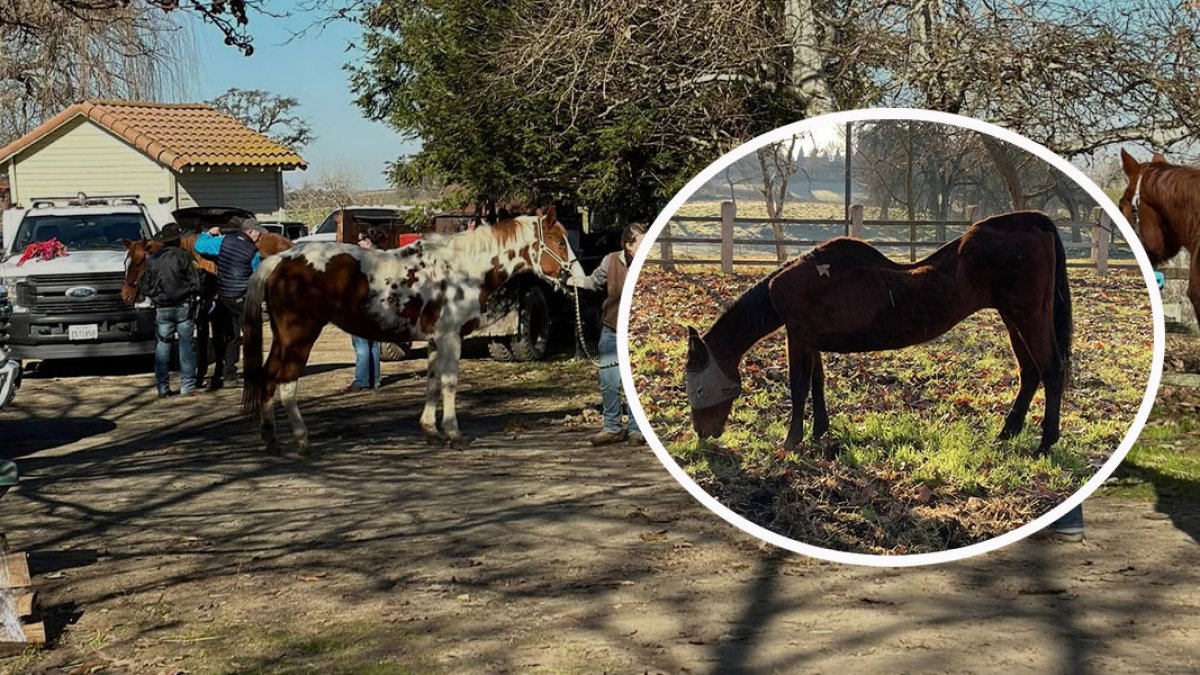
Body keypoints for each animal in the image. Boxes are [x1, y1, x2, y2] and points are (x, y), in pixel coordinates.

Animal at [241, 208, 583, 455]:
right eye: (558, 241)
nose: (577, 277)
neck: (462, 269)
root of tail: (281, 259)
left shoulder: (435, 340)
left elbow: (432, 383)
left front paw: (431, 431)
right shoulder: (450, 337)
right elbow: (449, 383)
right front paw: (454, 433)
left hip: (282, 338)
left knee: (268, 378)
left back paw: (271, 439)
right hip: (300, 336)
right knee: (287, 384)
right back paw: (302, 440)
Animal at [685, 211, 1072, 457]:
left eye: (699, 388)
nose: (703, 434)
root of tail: (1031, 222)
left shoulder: (797, 335)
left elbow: (798, 387)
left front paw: (790, 442)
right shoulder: (810, 339)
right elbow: (817, 382)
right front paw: (819, 432)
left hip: (1028, 315)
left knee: (1051, 370)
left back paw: (1045, 444)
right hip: (1012, 317)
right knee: (1030, 372)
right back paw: (1007, 434)